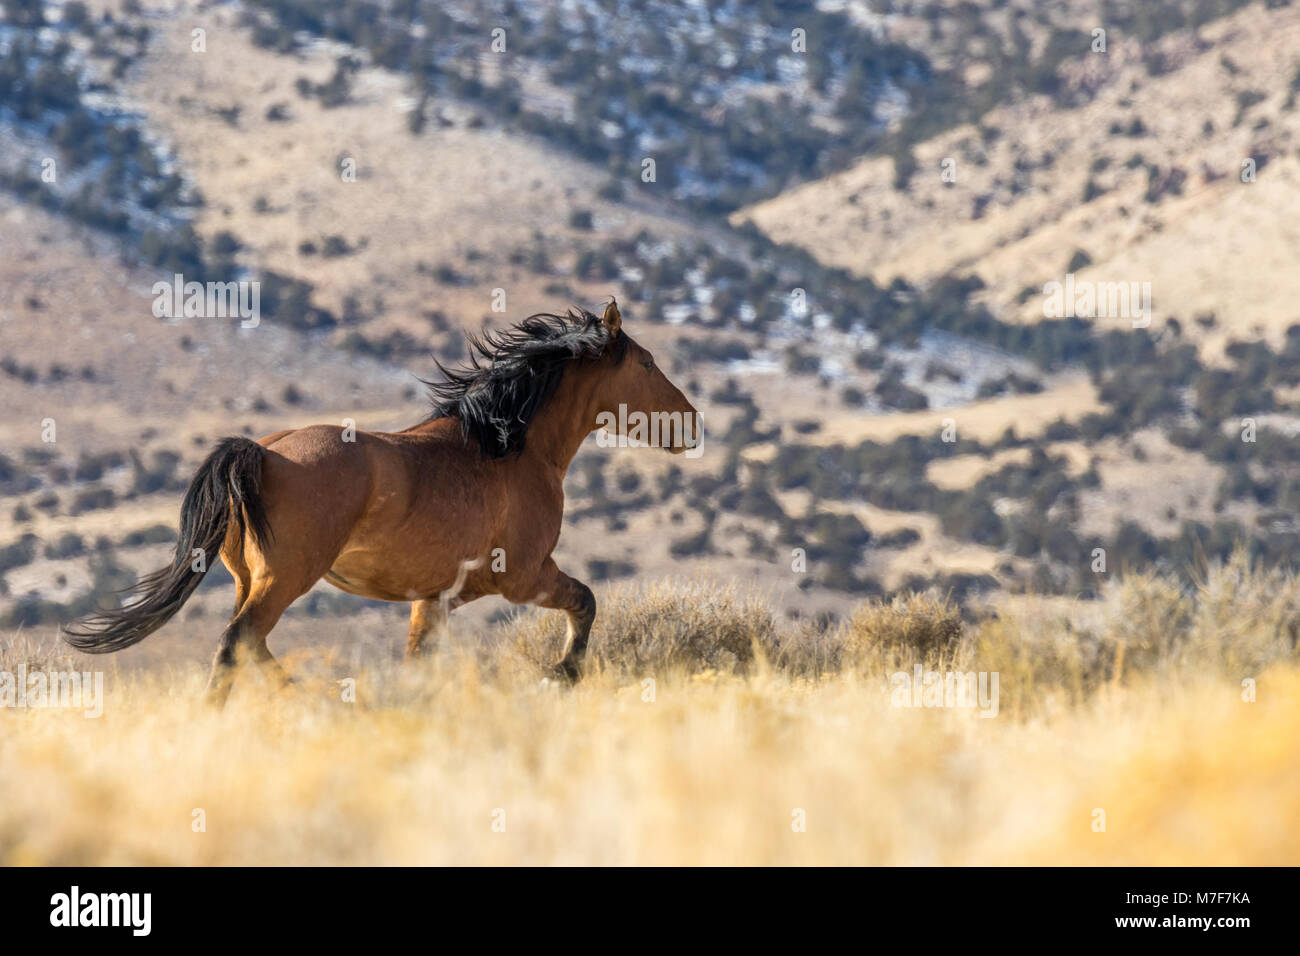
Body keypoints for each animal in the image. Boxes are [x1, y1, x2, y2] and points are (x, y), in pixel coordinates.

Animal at [62, 301, 700, 704]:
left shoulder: (433, 600)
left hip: (250, 580)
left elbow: (419, 661)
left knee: (250, 646)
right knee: (235, 644)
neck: (509, 447)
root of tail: (262, 453)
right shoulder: (524, 576)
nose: (690, 425)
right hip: (286, 578)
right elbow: (587, 601)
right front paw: (561, 675)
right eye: (647, 363)